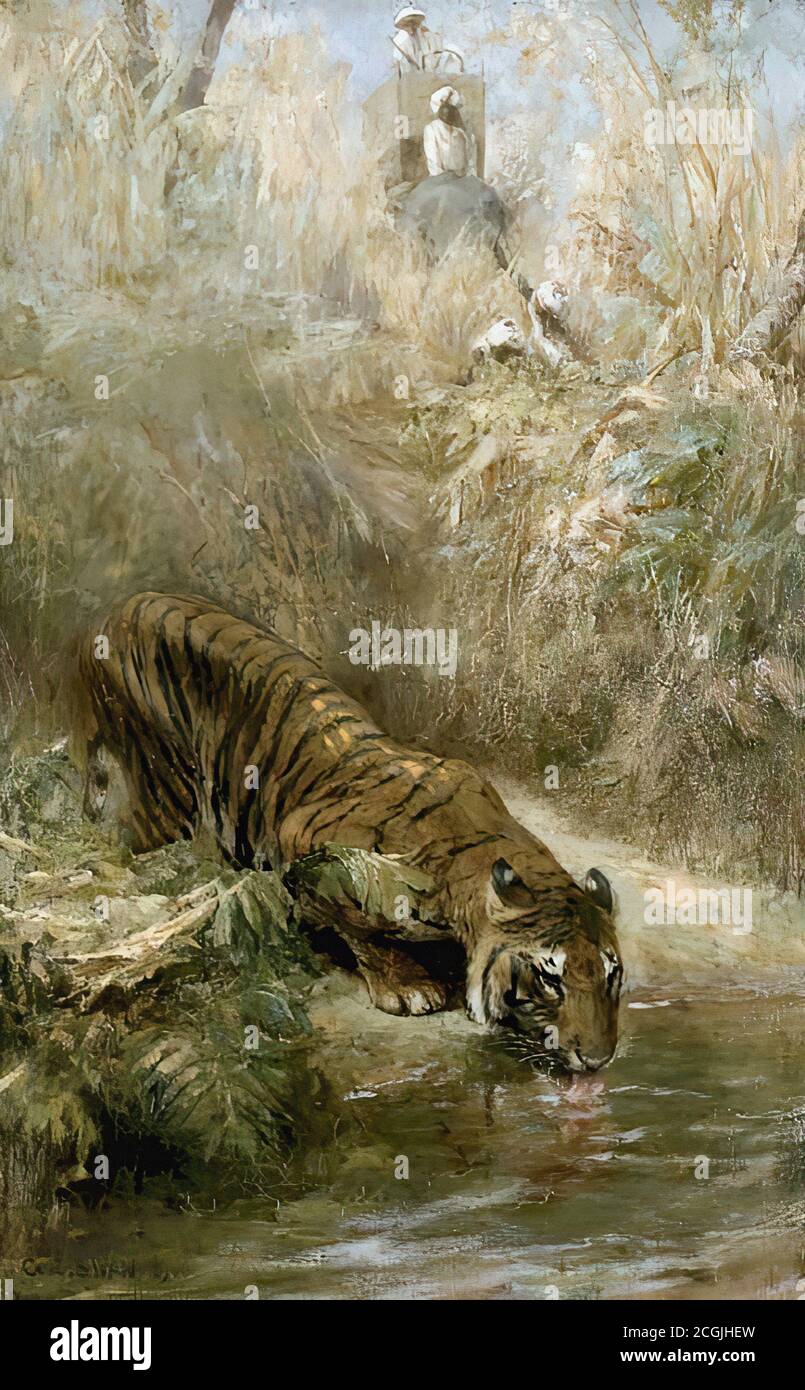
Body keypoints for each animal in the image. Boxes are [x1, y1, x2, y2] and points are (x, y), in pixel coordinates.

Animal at [78, 592, 623, 1072]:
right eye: (551, 979)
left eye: (611, 976)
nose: (599, 1060)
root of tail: (122, 604)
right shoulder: (306, 846)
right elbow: (362, 932)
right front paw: (409, 988)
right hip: (160, 785)